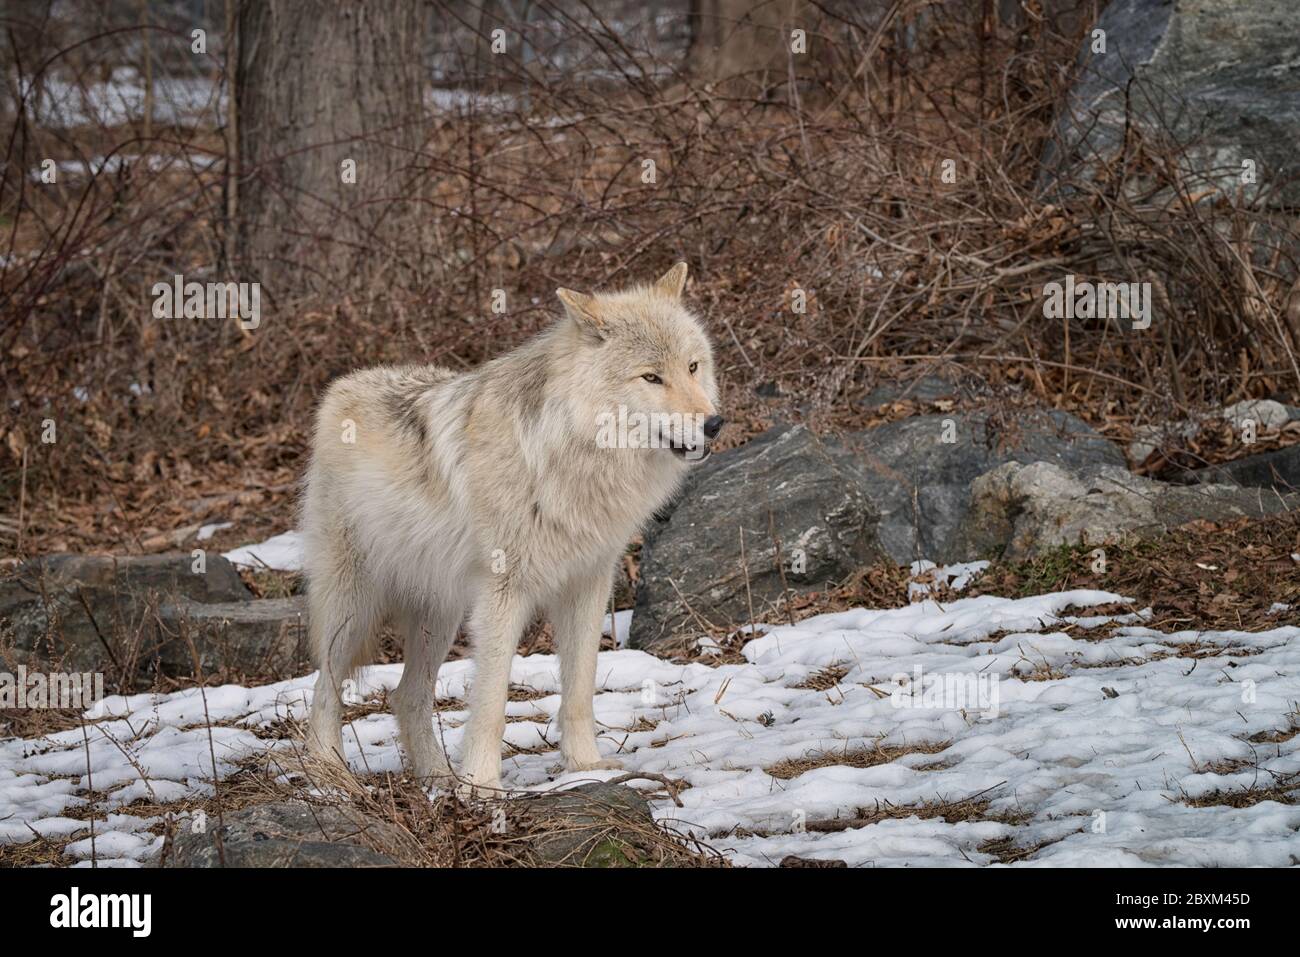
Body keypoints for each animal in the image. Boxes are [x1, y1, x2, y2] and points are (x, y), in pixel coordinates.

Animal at [302, 262, 723, 792]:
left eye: (692, 367)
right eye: (651, 377)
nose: (714, 424)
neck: (571, 457)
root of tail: (343, 385)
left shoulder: (588, 584)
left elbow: (580, 688)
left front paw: (585, 767)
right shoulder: (503, 593)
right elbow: (491, 701)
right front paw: (483, 786)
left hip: (439, 615)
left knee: (407, 695)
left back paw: (438, 780)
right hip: (352, 607)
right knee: (325, 686)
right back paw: (331, 773)